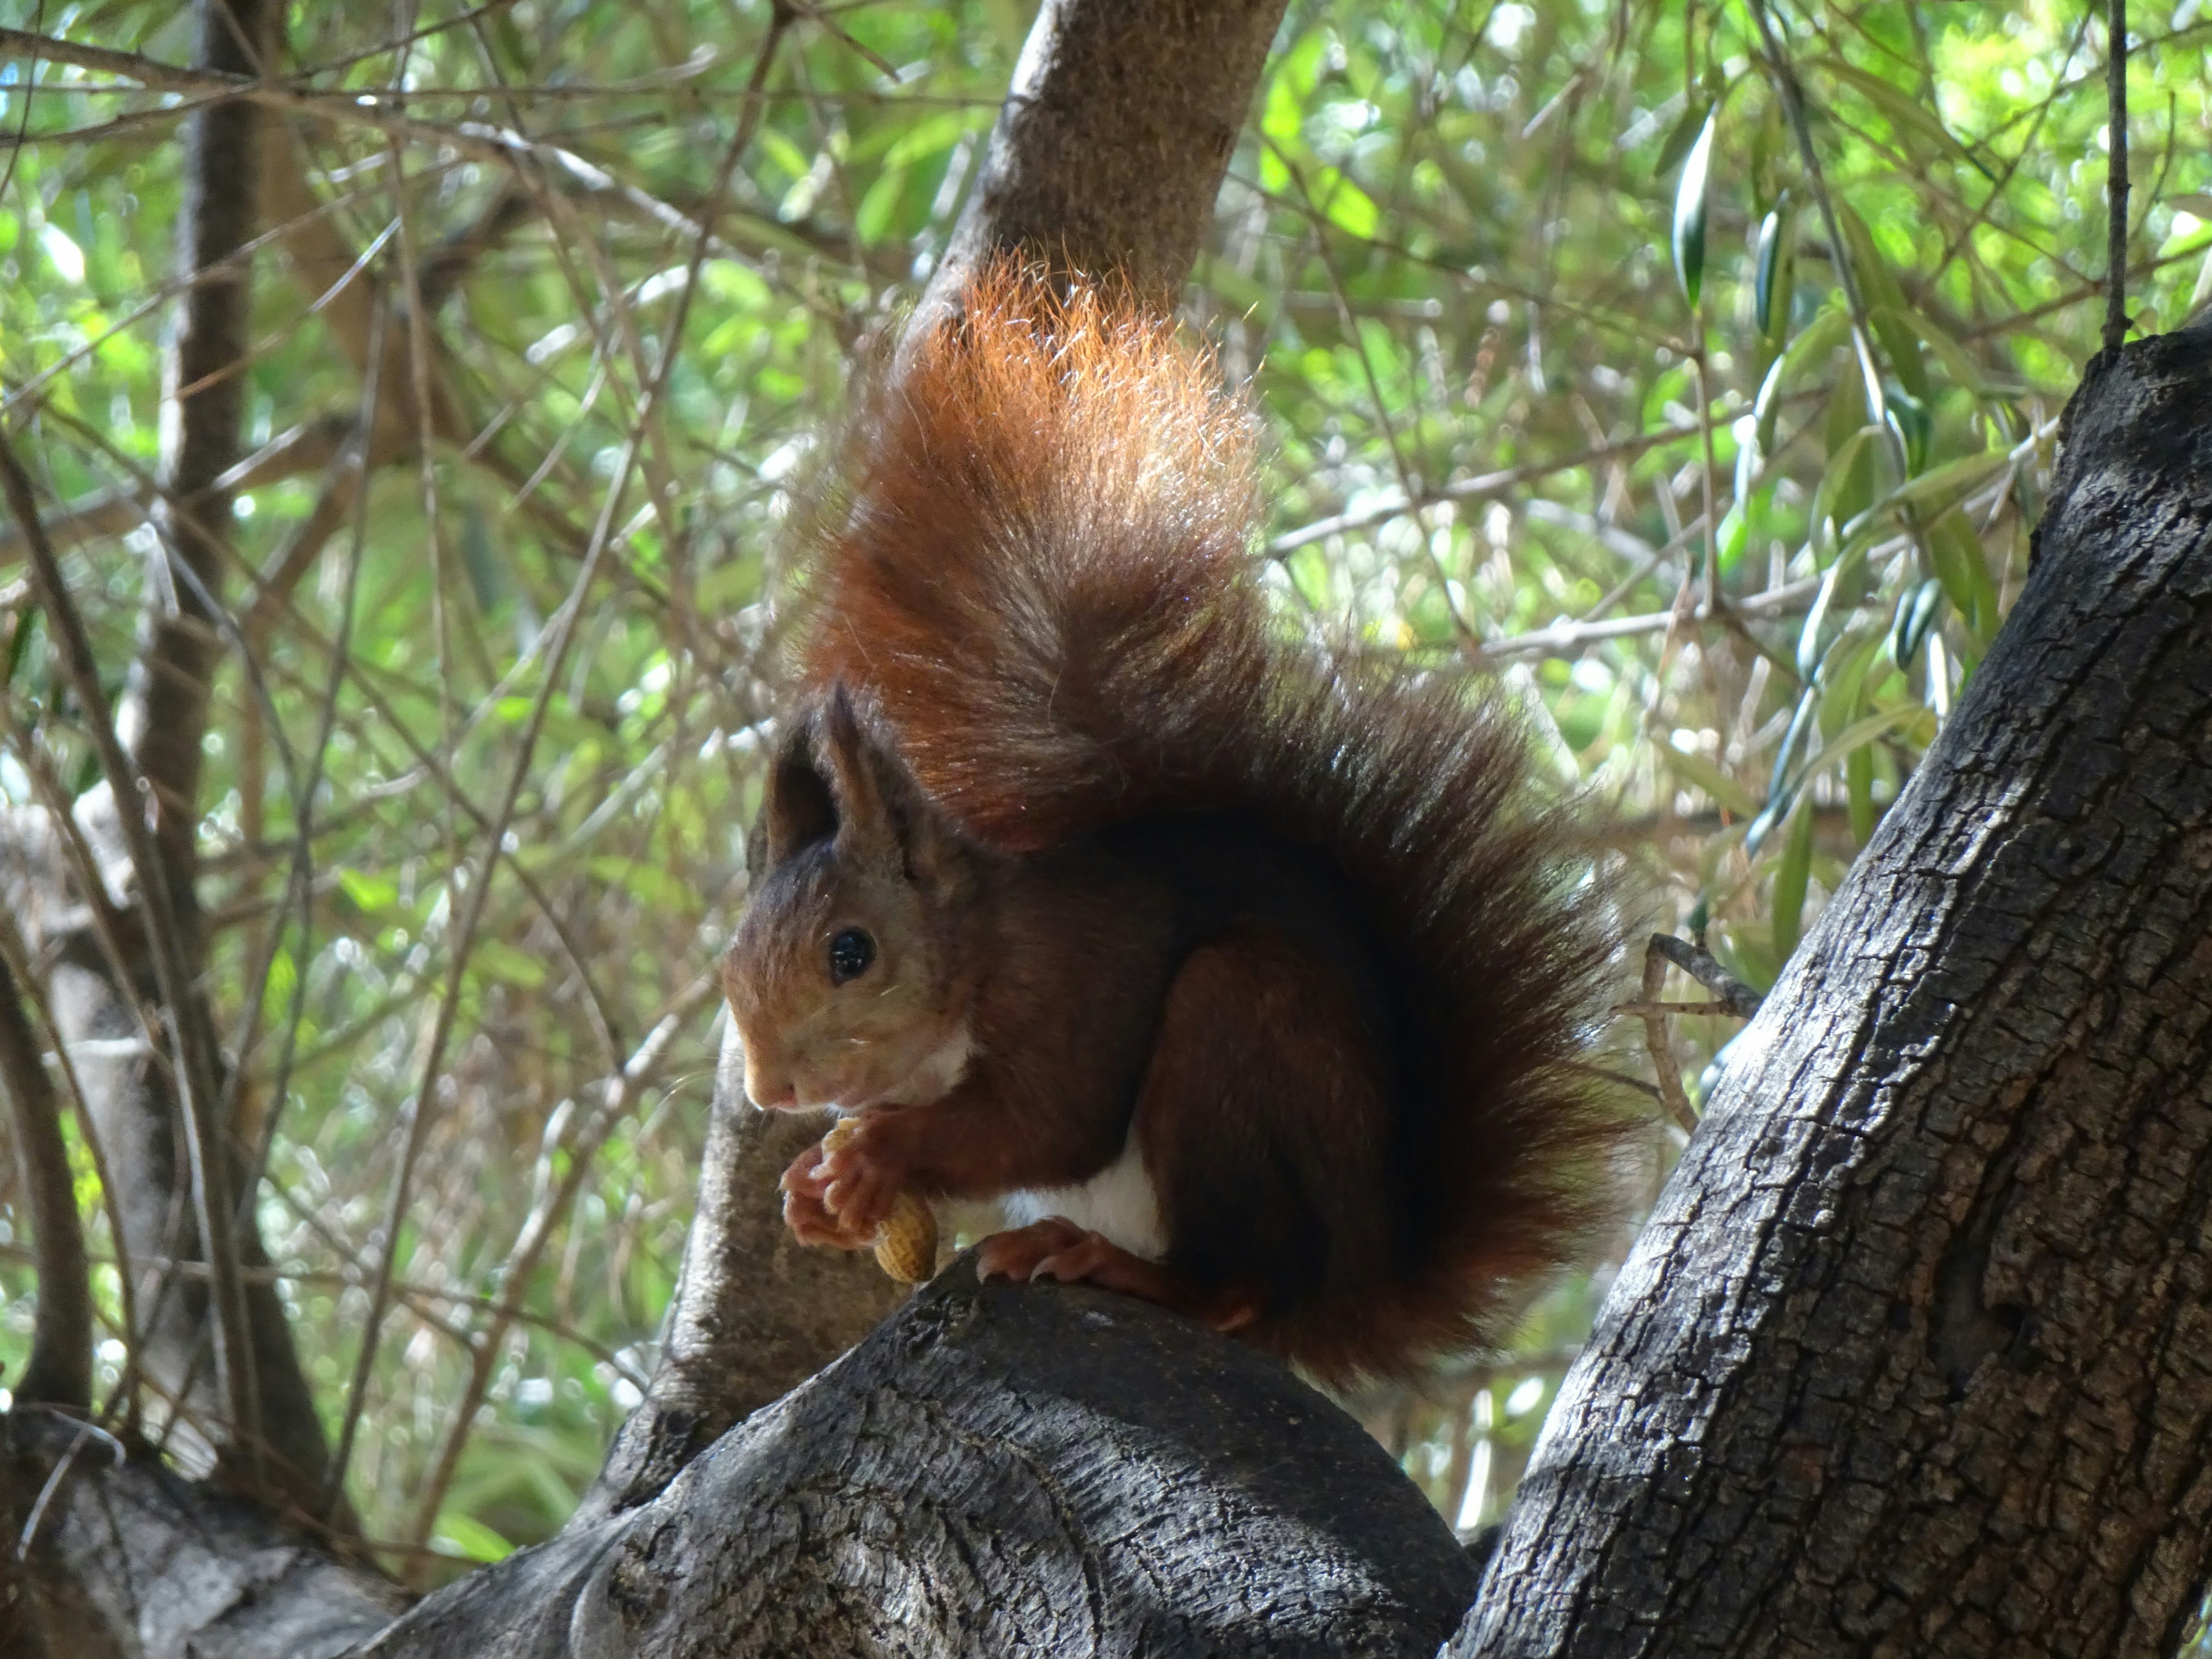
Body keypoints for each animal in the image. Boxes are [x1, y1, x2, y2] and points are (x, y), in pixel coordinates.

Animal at [721, 263, 1628, 1385]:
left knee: (1239, 1284)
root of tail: (1357, 1287)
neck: (974, 950)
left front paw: (880, 1153)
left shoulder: (1068, 981)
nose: (770, 1089)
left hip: (1240, 1031)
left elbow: (1049, 1122)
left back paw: (1118, 1267)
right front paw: (813, 1196)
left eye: (853, 953)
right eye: (735, 958)